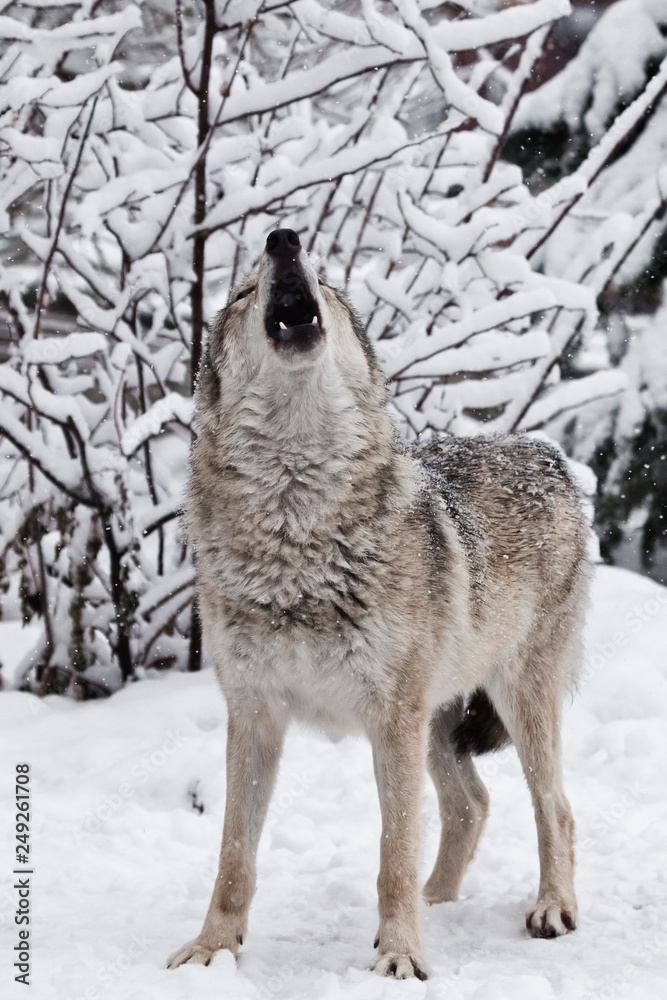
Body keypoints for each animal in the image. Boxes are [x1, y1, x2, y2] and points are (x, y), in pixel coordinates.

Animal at [168, 229, 589, 980]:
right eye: (243, 292)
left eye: (329, 282)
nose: (283, 238)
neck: (295, 527)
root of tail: (546, 453)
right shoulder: (254, 716)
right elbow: (233, 858)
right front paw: (212, 950)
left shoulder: (390, 720)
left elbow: (393, 854)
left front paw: (400, 957)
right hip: (439, 724)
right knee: (471, 806)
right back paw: (439, 904)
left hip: (513, 702)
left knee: (555, 807)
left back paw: (550, 910)